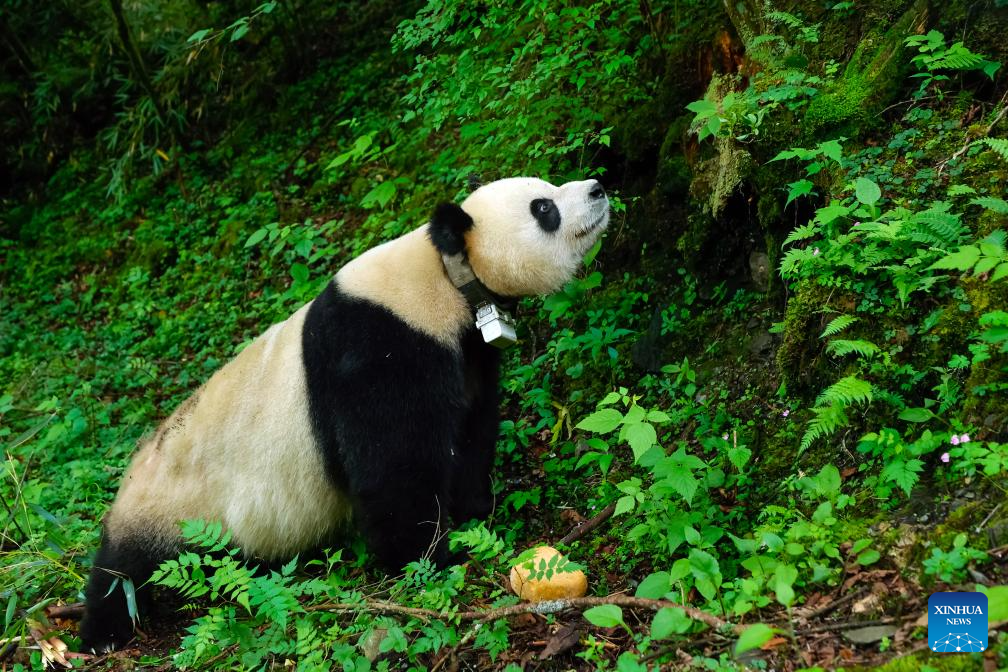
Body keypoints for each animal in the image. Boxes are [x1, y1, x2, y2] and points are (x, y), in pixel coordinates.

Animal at [79, 176, 609, 651]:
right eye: (543, 207)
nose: (598, 188)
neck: (443, 274)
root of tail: (135, 466)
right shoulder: (379, 346)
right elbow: (393, 466)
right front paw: (427, 558)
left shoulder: (468, 350)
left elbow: (472, 428)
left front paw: (477, 509)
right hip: (169, 505)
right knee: (124, 570)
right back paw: (103, 635)